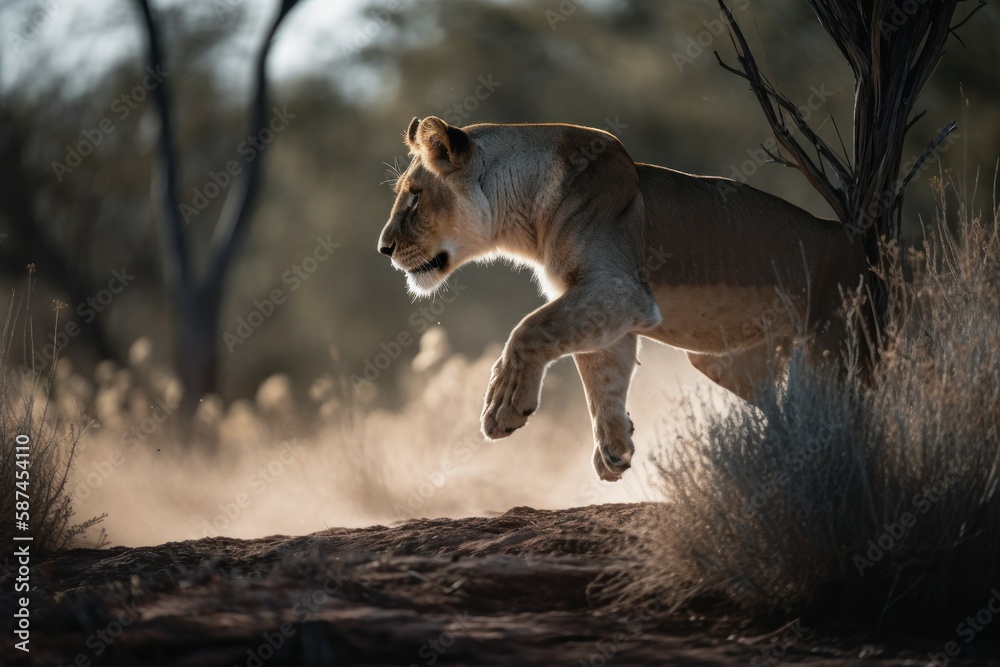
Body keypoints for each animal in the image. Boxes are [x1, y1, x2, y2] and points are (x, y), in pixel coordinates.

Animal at [377, 116, 867, 481]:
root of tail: (854, 237)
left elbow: (529, 328)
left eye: (415, 197)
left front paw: (503, 405)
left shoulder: (619, 289)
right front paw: (614, 447)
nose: (384, 248)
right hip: (723, 362)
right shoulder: (600, 304)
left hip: (833, 344)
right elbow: (601, 374)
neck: (525, 214)